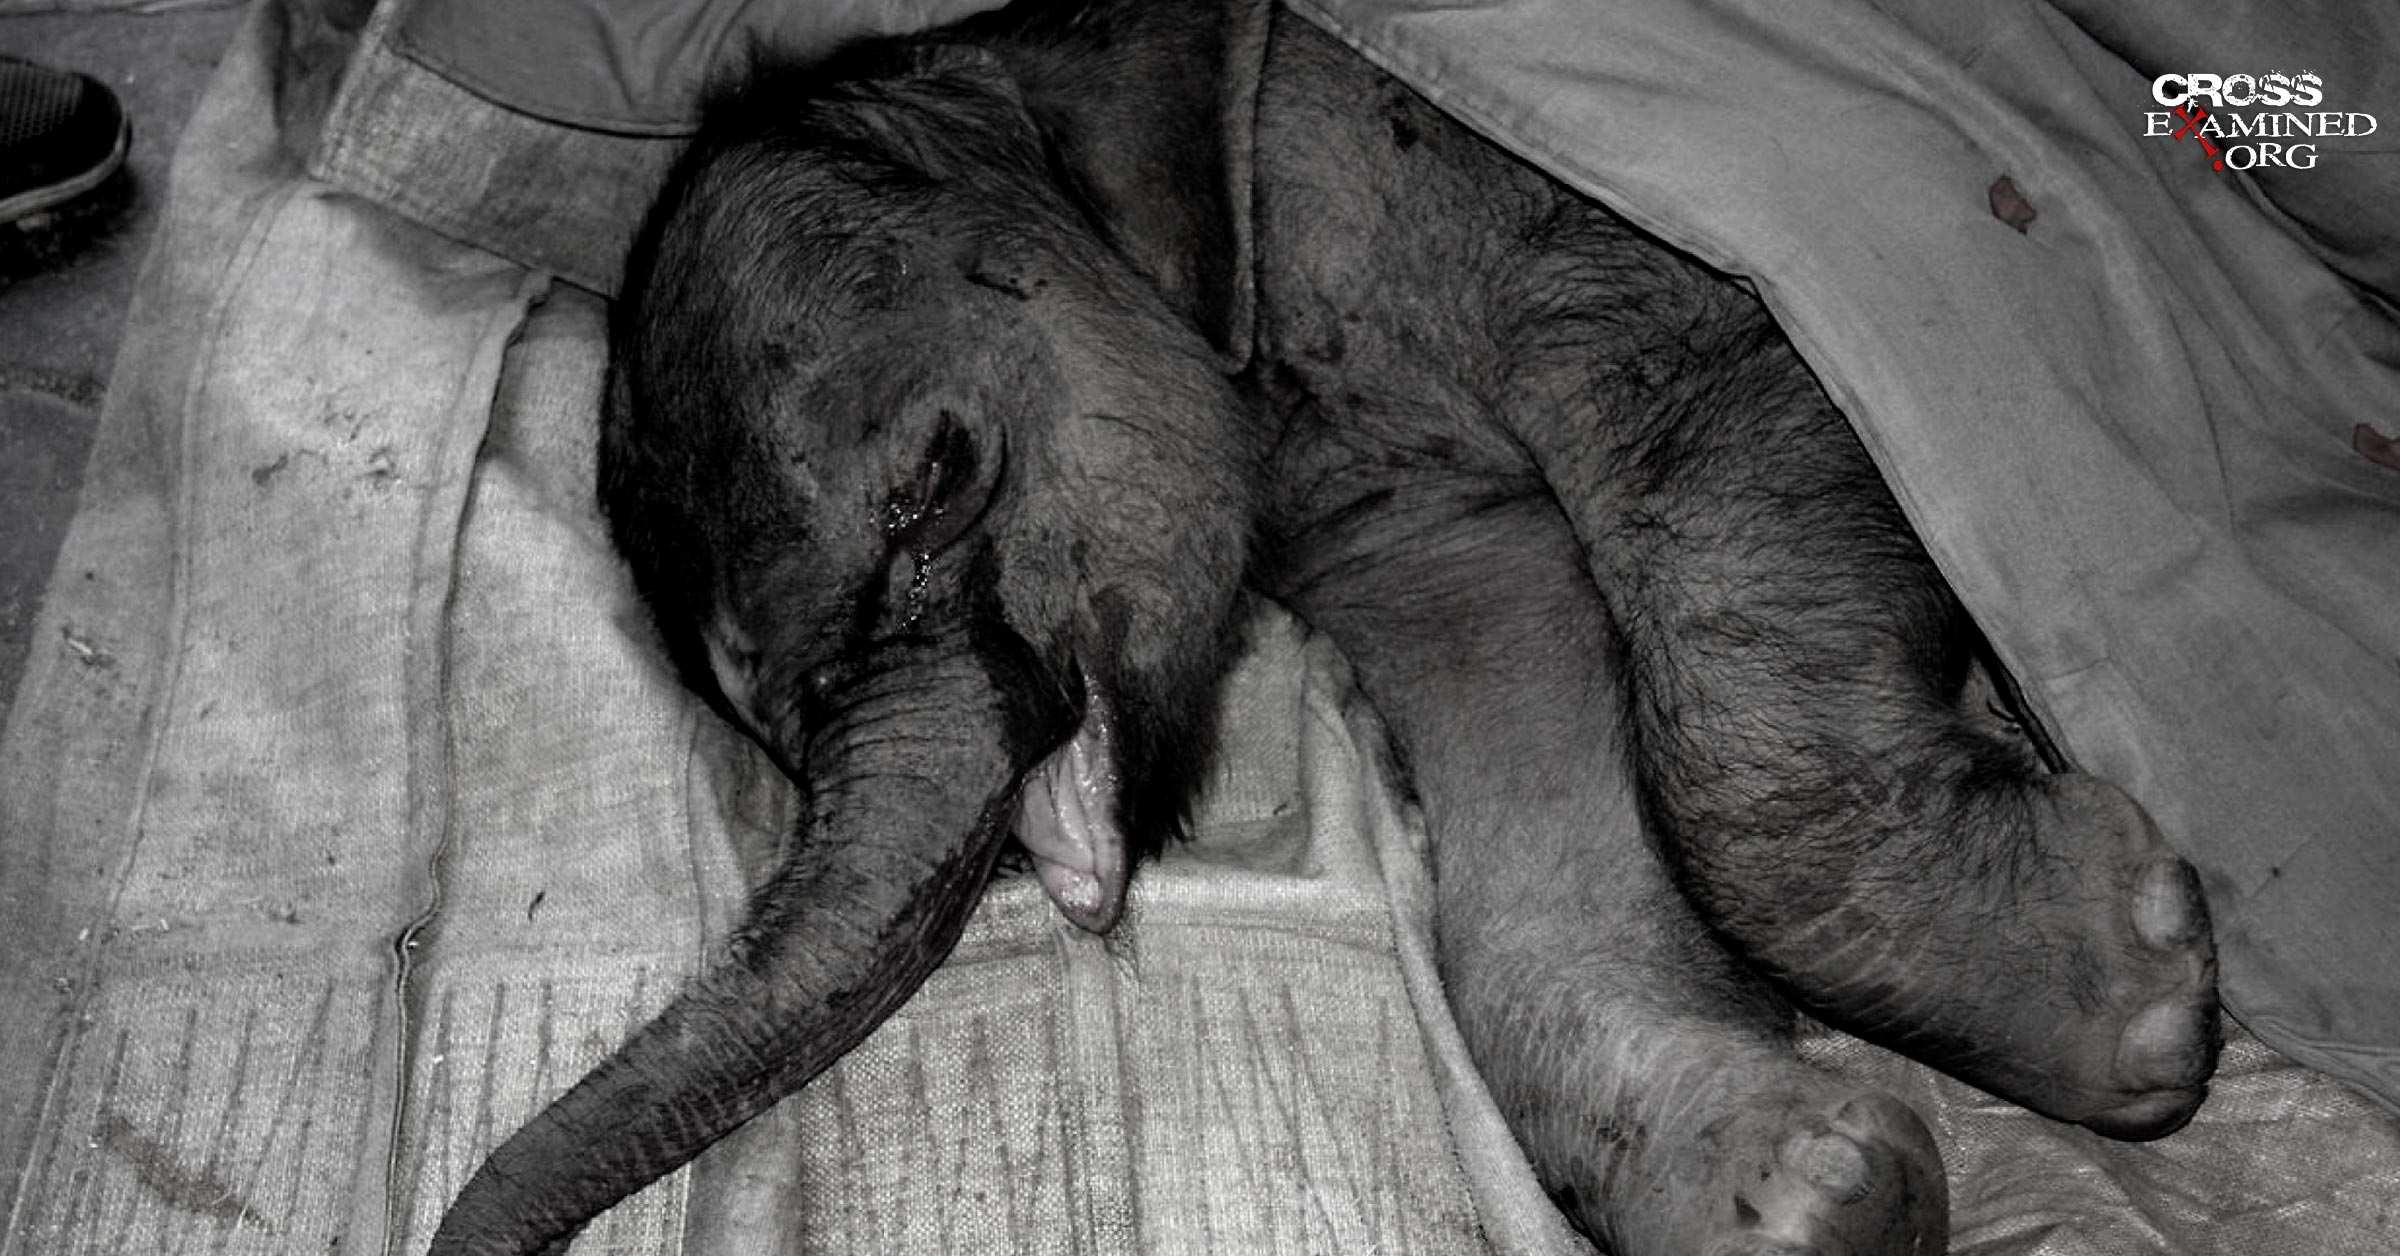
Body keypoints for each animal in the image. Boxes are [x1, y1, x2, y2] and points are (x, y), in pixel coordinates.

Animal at [429, 0, 2223, 1253]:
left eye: (941, 482)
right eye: (765, 706)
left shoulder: (1560, 213)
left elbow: (1707, 420)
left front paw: (2147, 996)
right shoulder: (1399, 525)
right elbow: (1534, 707)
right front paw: (1810, 1196)